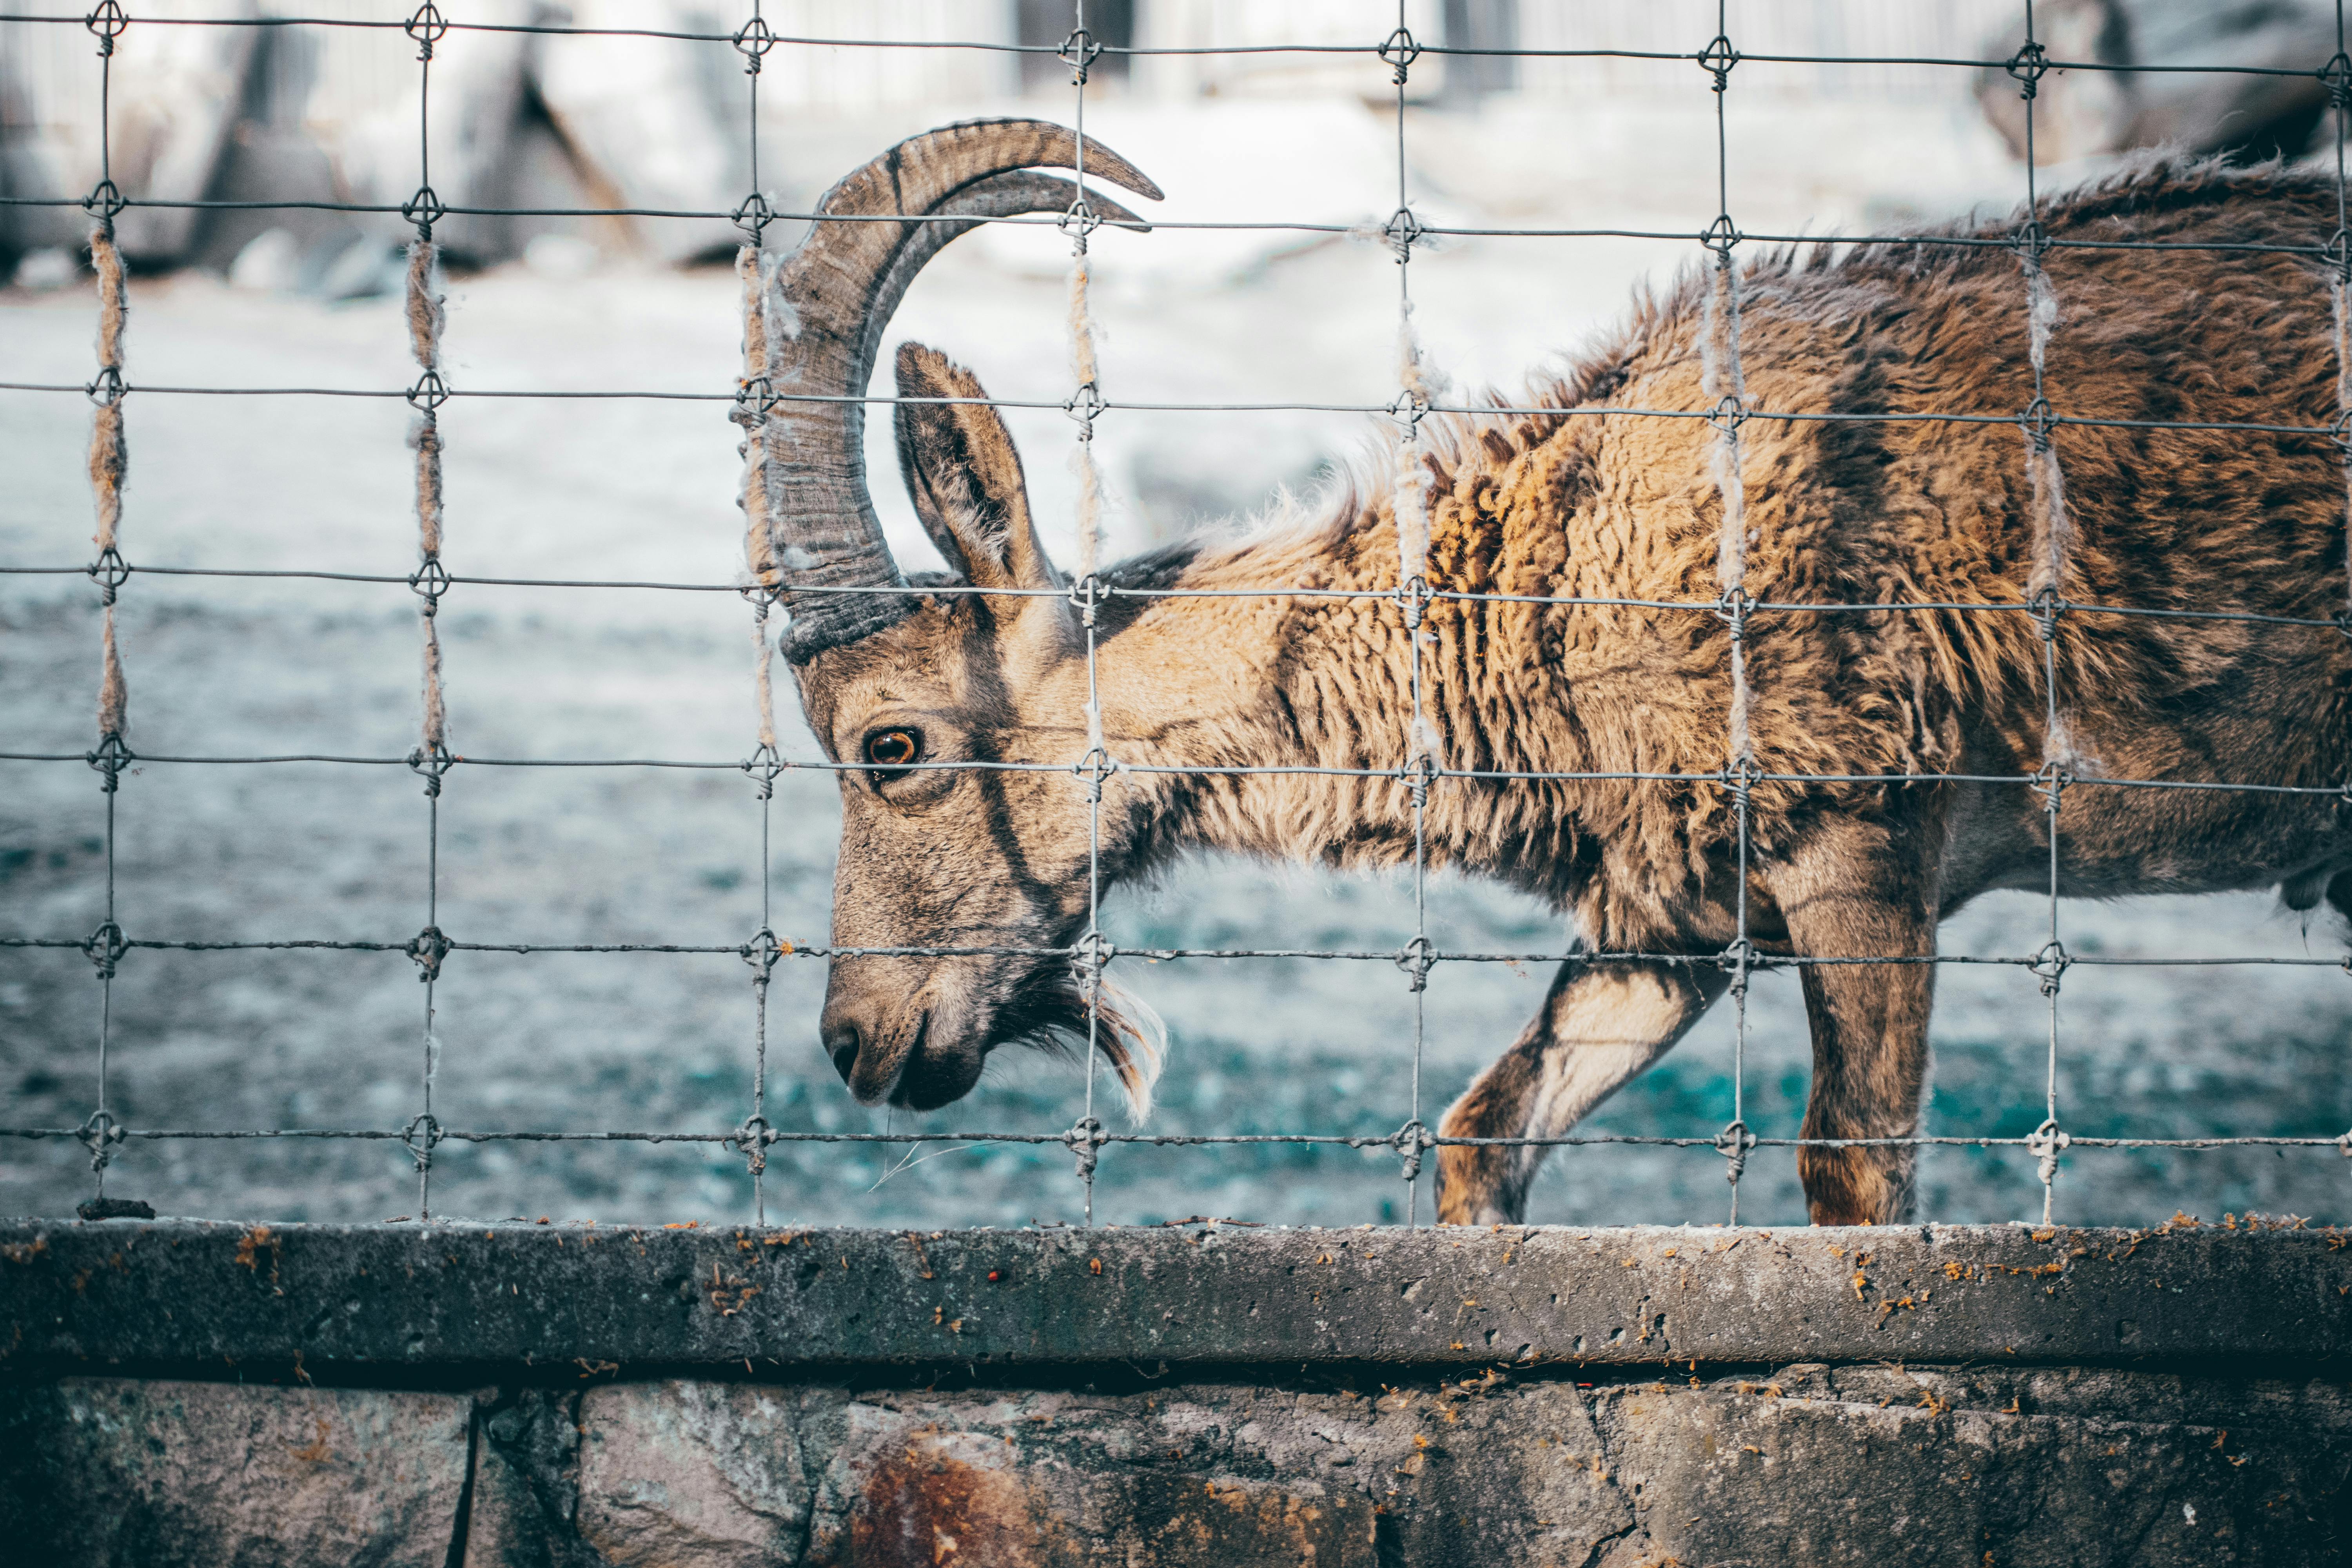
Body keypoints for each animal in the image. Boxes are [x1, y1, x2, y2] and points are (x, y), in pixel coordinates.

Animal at [747, 120, 2352, 1226]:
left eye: (888, 743)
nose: (856, 1039)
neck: (1563, 570)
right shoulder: (1670, 910)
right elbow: (1484, 1133)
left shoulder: (1860, 841)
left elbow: (1853, 1171)